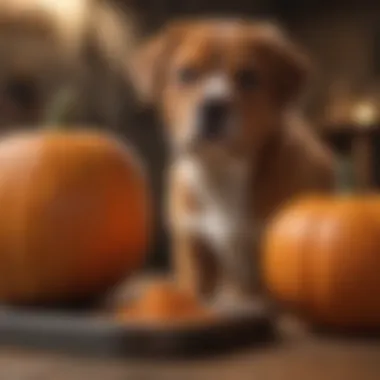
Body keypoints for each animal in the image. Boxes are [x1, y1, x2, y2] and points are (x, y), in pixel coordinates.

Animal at [129, 17, 334, 304]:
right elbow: (193, 291)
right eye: (186, 73)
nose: (213, 106)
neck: (221, 171)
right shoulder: (193, 246)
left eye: (248, 77)